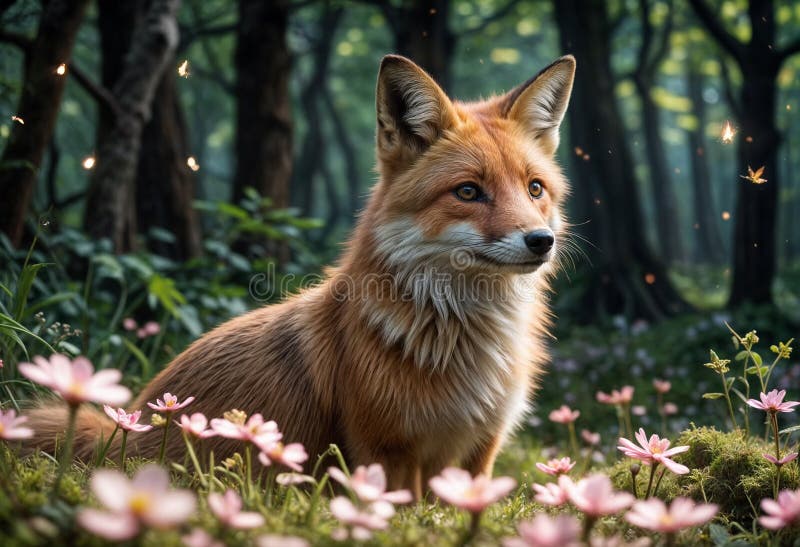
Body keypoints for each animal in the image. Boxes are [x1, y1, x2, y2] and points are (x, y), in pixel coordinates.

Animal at [25, 54, 575, 498]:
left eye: (534, 188)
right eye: (467, 192)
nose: (540, 241)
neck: (460, 342)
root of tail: (130, 423)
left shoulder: (480, 450)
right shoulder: (388, 450)